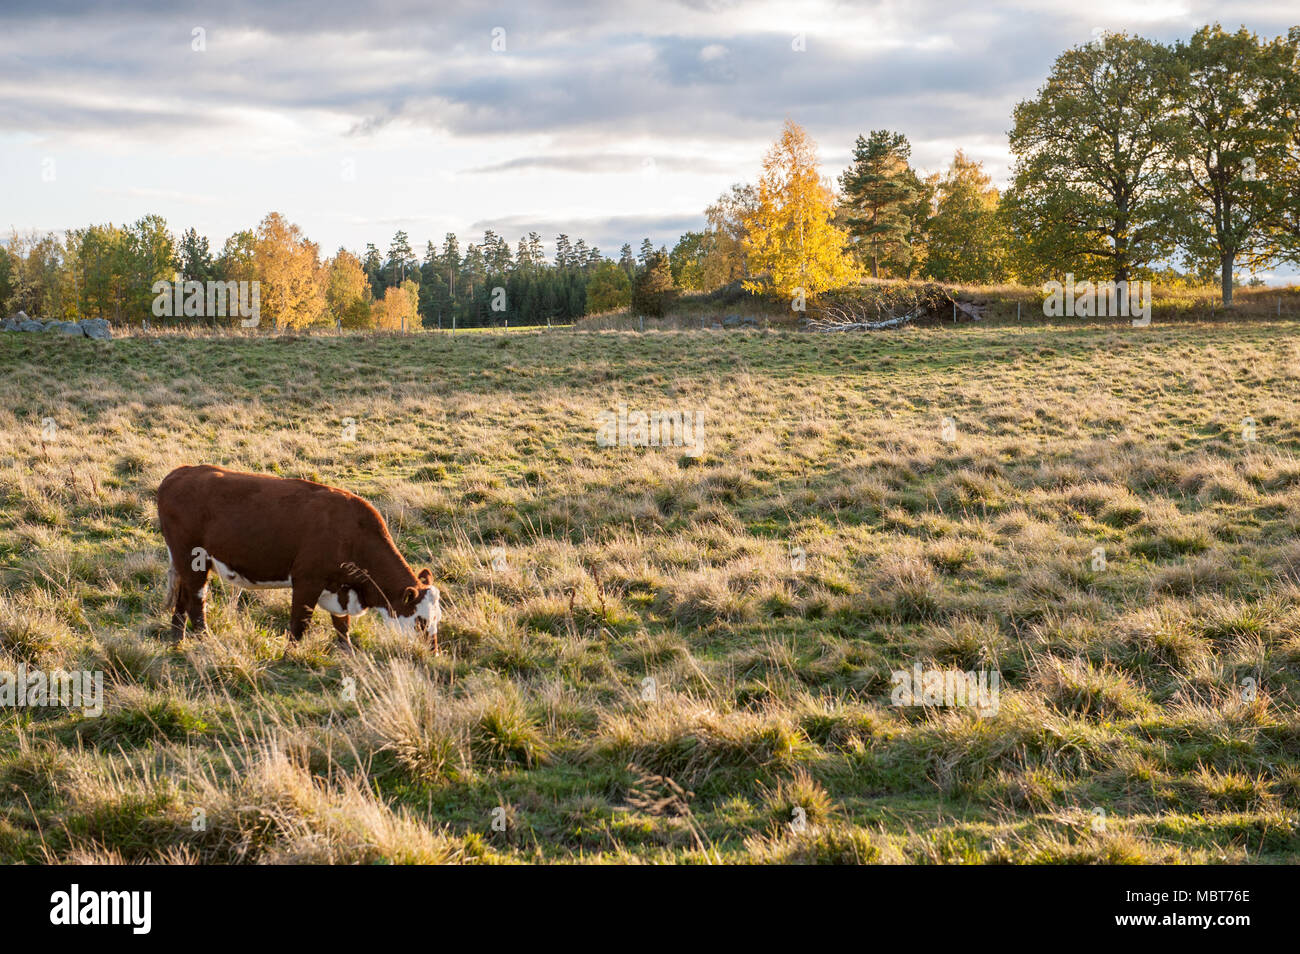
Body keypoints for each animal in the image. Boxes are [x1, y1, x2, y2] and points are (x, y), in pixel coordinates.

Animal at [157, 464, 441, 651]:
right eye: (421, 621)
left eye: (437, 618)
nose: (433, 650)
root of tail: (179, 473)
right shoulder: (307, 581)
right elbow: (299, 624)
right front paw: (289, 655)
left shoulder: (338, 588)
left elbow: (342, 625)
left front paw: (347, 652)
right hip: (192, 558)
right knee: (196, 601)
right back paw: (204, 638)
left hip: (187, 562)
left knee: (183, 598)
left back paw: (177, 638)